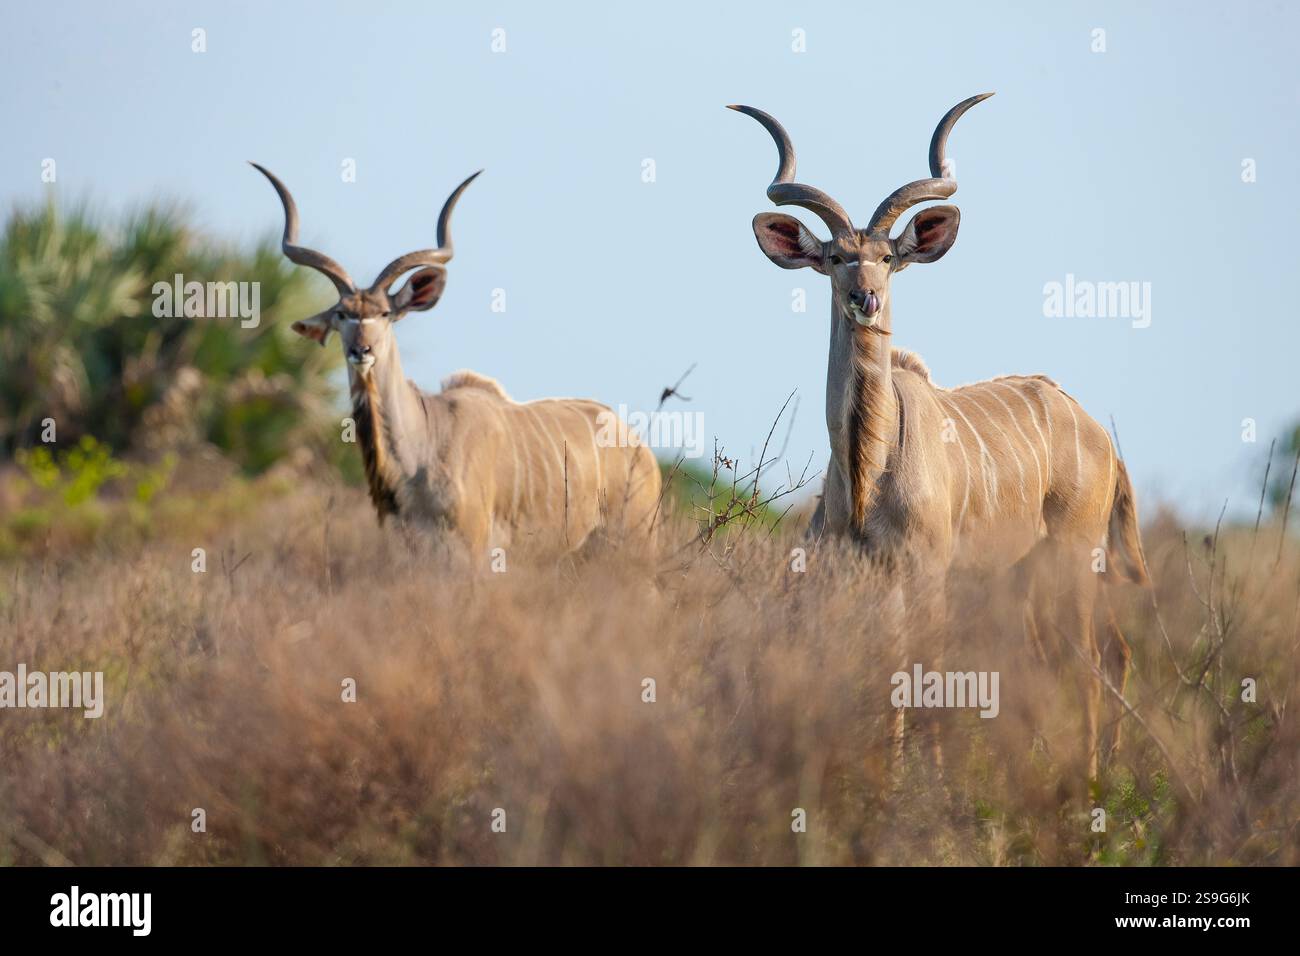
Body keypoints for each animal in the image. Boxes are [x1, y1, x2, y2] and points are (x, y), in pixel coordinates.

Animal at [251, 164, 661, 557]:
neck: (420, 452)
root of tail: (640, 449)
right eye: (341, 314)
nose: (361, 351)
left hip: (633, 542)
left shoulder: (473, 553)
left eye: (384, 314)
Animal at [730, 95, 1150, 779]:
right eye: (835, 257)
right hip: (1023, 573)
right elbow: (882, 667)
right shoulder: (848, 573)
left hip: (1072, 560)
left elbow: (920, 669)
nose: (866, 298)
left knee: (1093, 660)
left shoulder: (925, 570)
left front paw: (922, 782)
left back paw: (1089, 782)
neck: (867, 473)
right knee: (1060, 657)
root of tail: (1101, 438)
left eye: (888, 257)